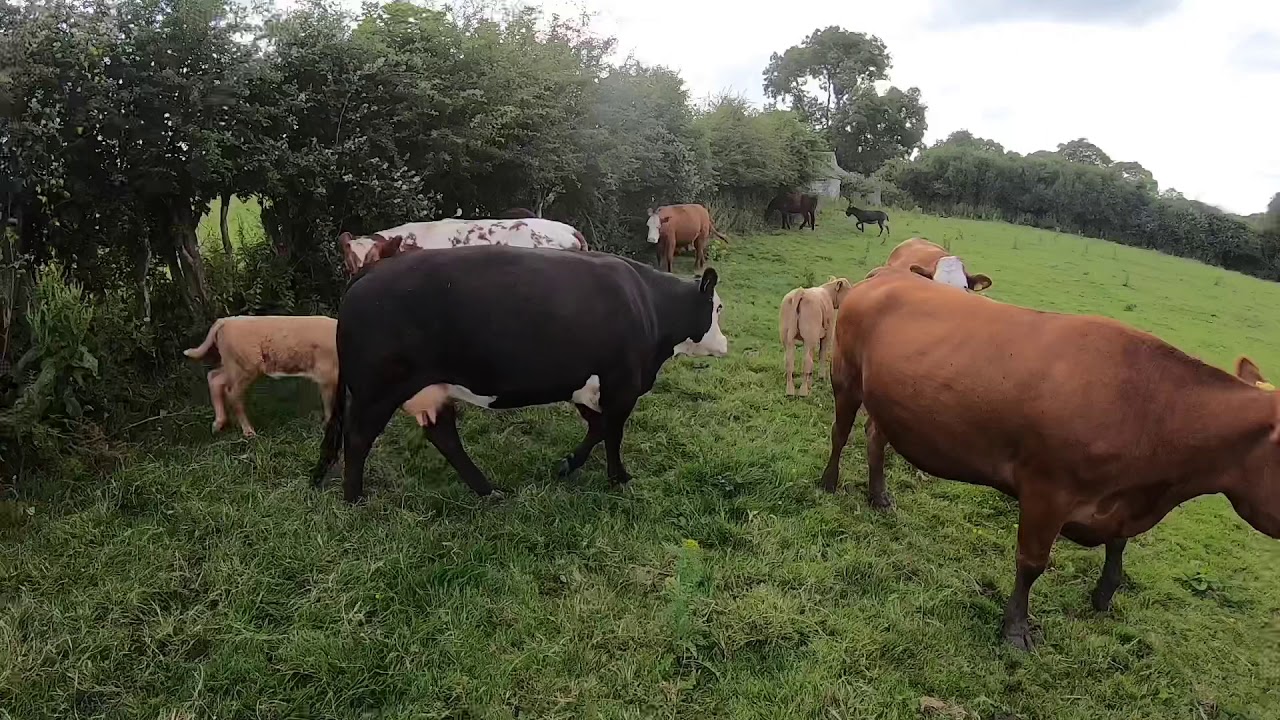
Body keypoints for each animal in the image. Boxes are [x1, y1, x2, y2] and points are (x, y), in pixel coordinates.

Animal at [311, 245, 729, 503]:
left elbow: (598, 427)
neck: (647, 304)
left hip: (427, 387)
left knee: (444, 436)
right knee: (358, 438)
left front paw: (567, 465)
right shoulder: (622, 383)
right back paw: (354, 499)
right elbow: (612, 433)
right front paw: (618, 477)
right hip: (377, 389)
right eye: (719, 308)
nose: (725, 343)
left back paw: (486, 491)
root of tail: (368, 272)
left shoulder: (583, 385)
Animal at [821, 264, 1280, 650]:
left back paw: (879, 497)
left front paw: (1103, 595)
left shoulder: (1118, 501)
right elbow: (1031, 563)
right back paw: (828, 483)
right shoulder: (1047, 491)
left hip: (887, 400)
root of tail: (889, 273)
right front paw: (1015, 628)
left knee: (875, 437)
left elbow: (1118, 548)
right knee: (840, 434)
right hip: (846, 376)